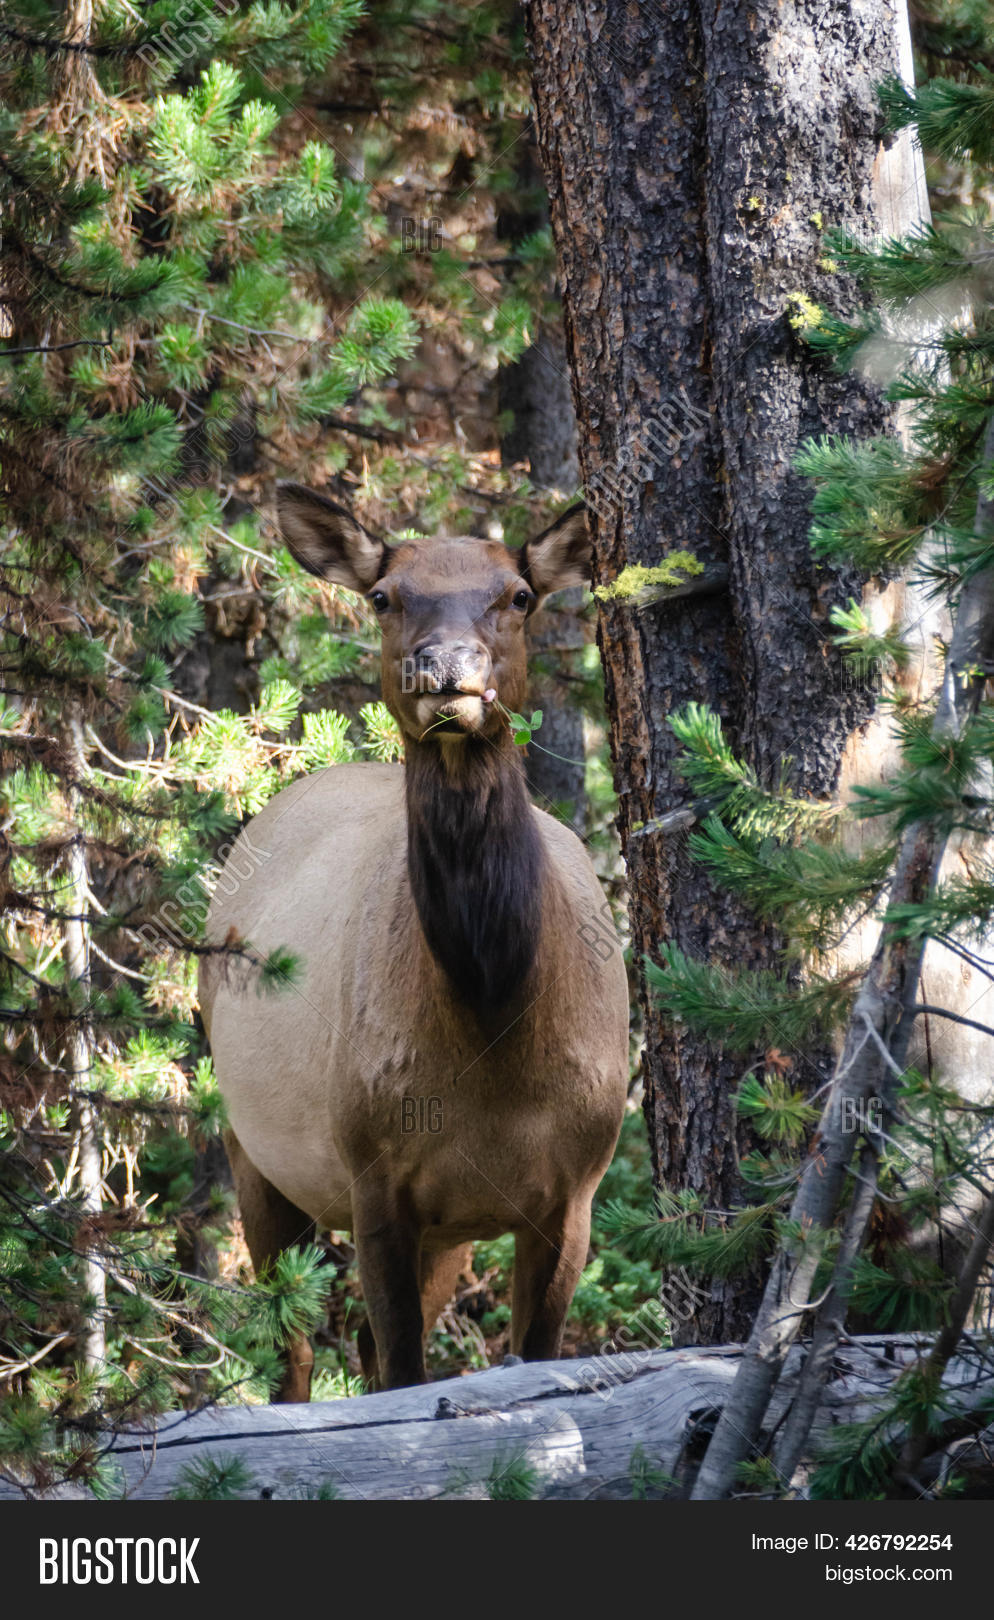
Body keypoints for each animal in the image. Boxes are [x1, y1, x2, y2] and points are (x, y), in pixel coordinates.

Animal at [198, 484, 630, 1396]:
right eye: (383, 596)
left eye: (519, 595)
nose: (446, 669)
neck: (495, 1027)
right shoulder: (375, 1173)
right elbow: (400, 1369)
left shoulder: (575, 1186)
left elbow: (531, 1356)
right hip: (252, 1148)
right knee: (292, 1349)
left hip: (448, 1226)